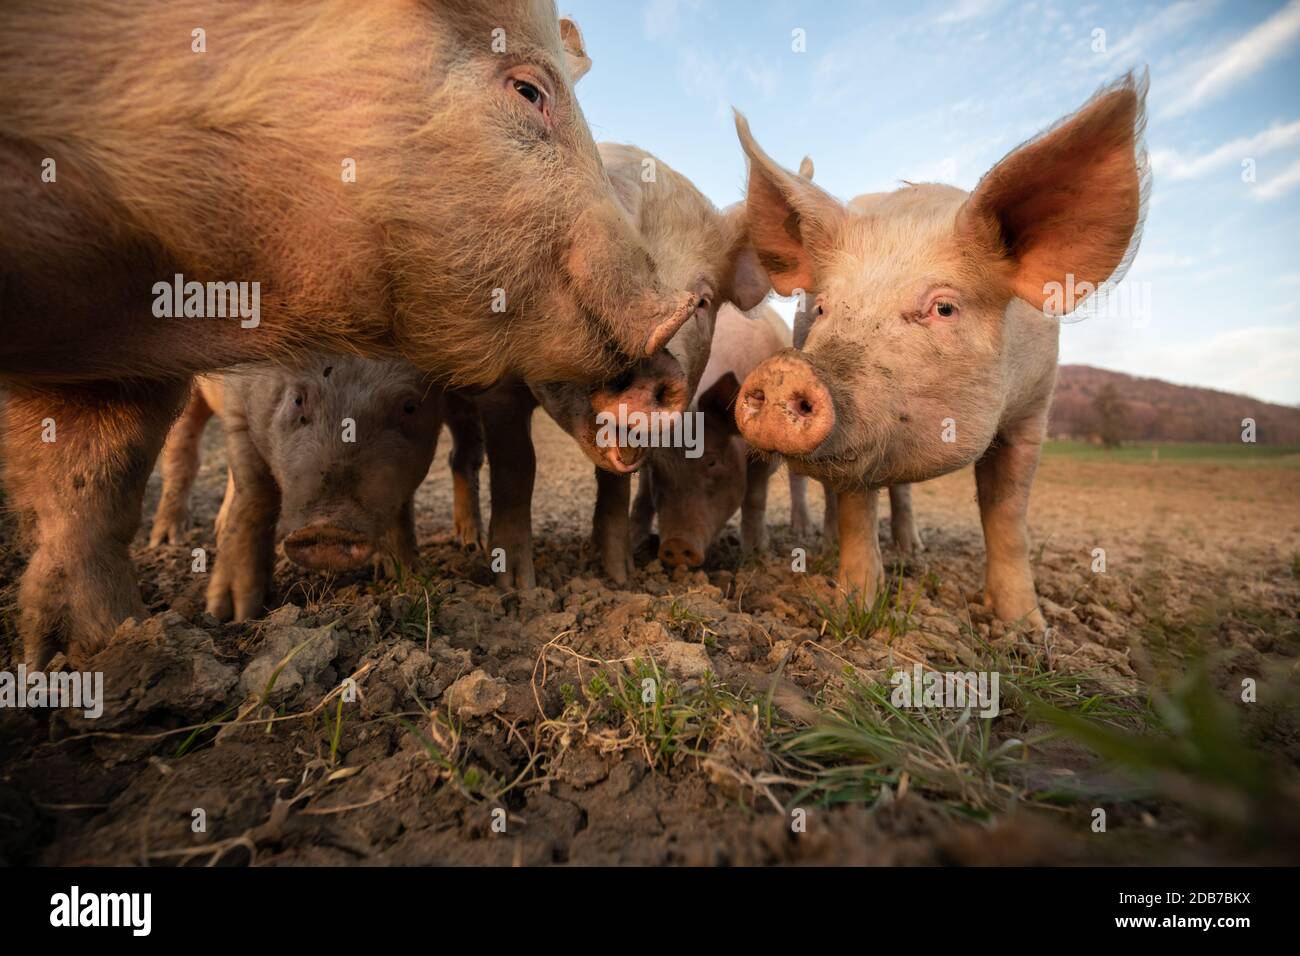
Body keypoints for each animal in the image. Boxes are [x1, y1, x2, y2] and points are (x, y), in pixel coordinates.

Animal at [0, 3, 697, 666]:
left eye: (410, 406)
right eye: (529, 91)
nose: (679, 310)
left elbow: (103, 472)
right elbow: (202, 486)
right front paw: (140, 641)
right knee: (186, 457)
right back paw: (168, 545)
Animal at [732, 74, 1149, 628]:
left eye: (944, 308)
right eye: (822, 307)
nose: (785, 371)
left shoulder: (1032, 412)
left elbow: (1006, 512)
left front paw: (1026, 630)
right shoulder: (868, 431)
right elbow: (857, 511)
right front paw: (852, 611)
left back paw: (914, 550)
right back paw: (826, 546)